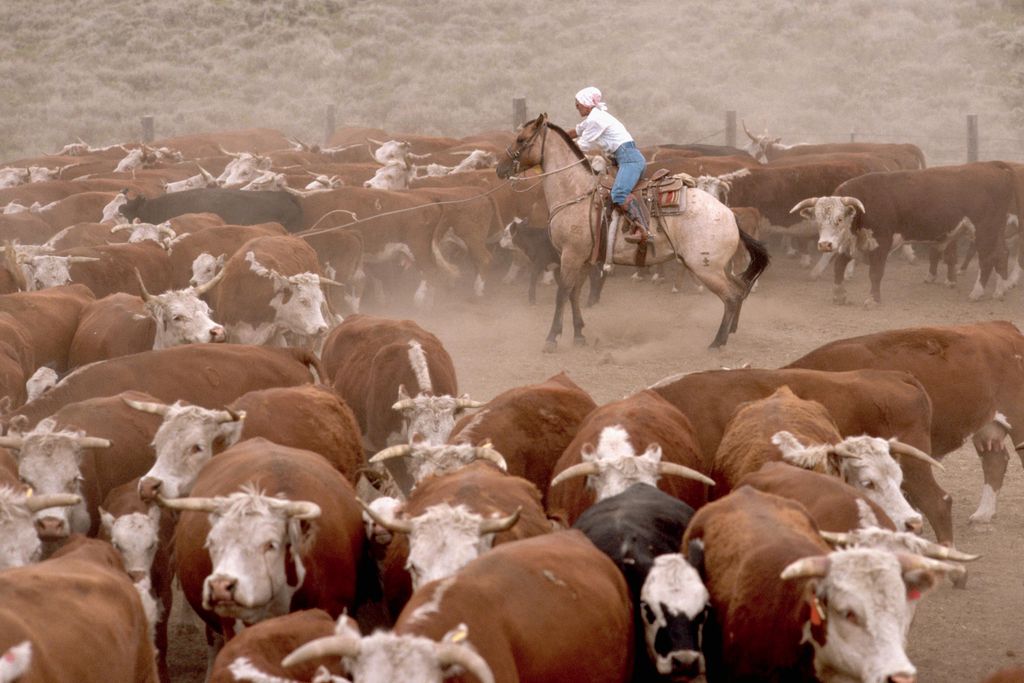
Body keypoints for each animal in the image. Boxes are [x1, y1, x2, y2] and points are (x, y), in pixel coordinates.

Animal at [790, 162, 1021, 305]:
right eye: (819, 220)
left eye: (839, 219)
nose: (825, 245)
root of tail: (995, 167)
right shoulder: (850, 244)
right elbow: (838, 268)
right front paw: (839, 295)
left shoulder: (882, 243)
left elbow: (875, 273)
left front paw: (873, 299)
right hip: (994, 231)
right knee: (1002, 254)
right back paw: (1000, 290)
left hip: (984, 230)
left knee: (988, 259)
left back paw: (977, 292)